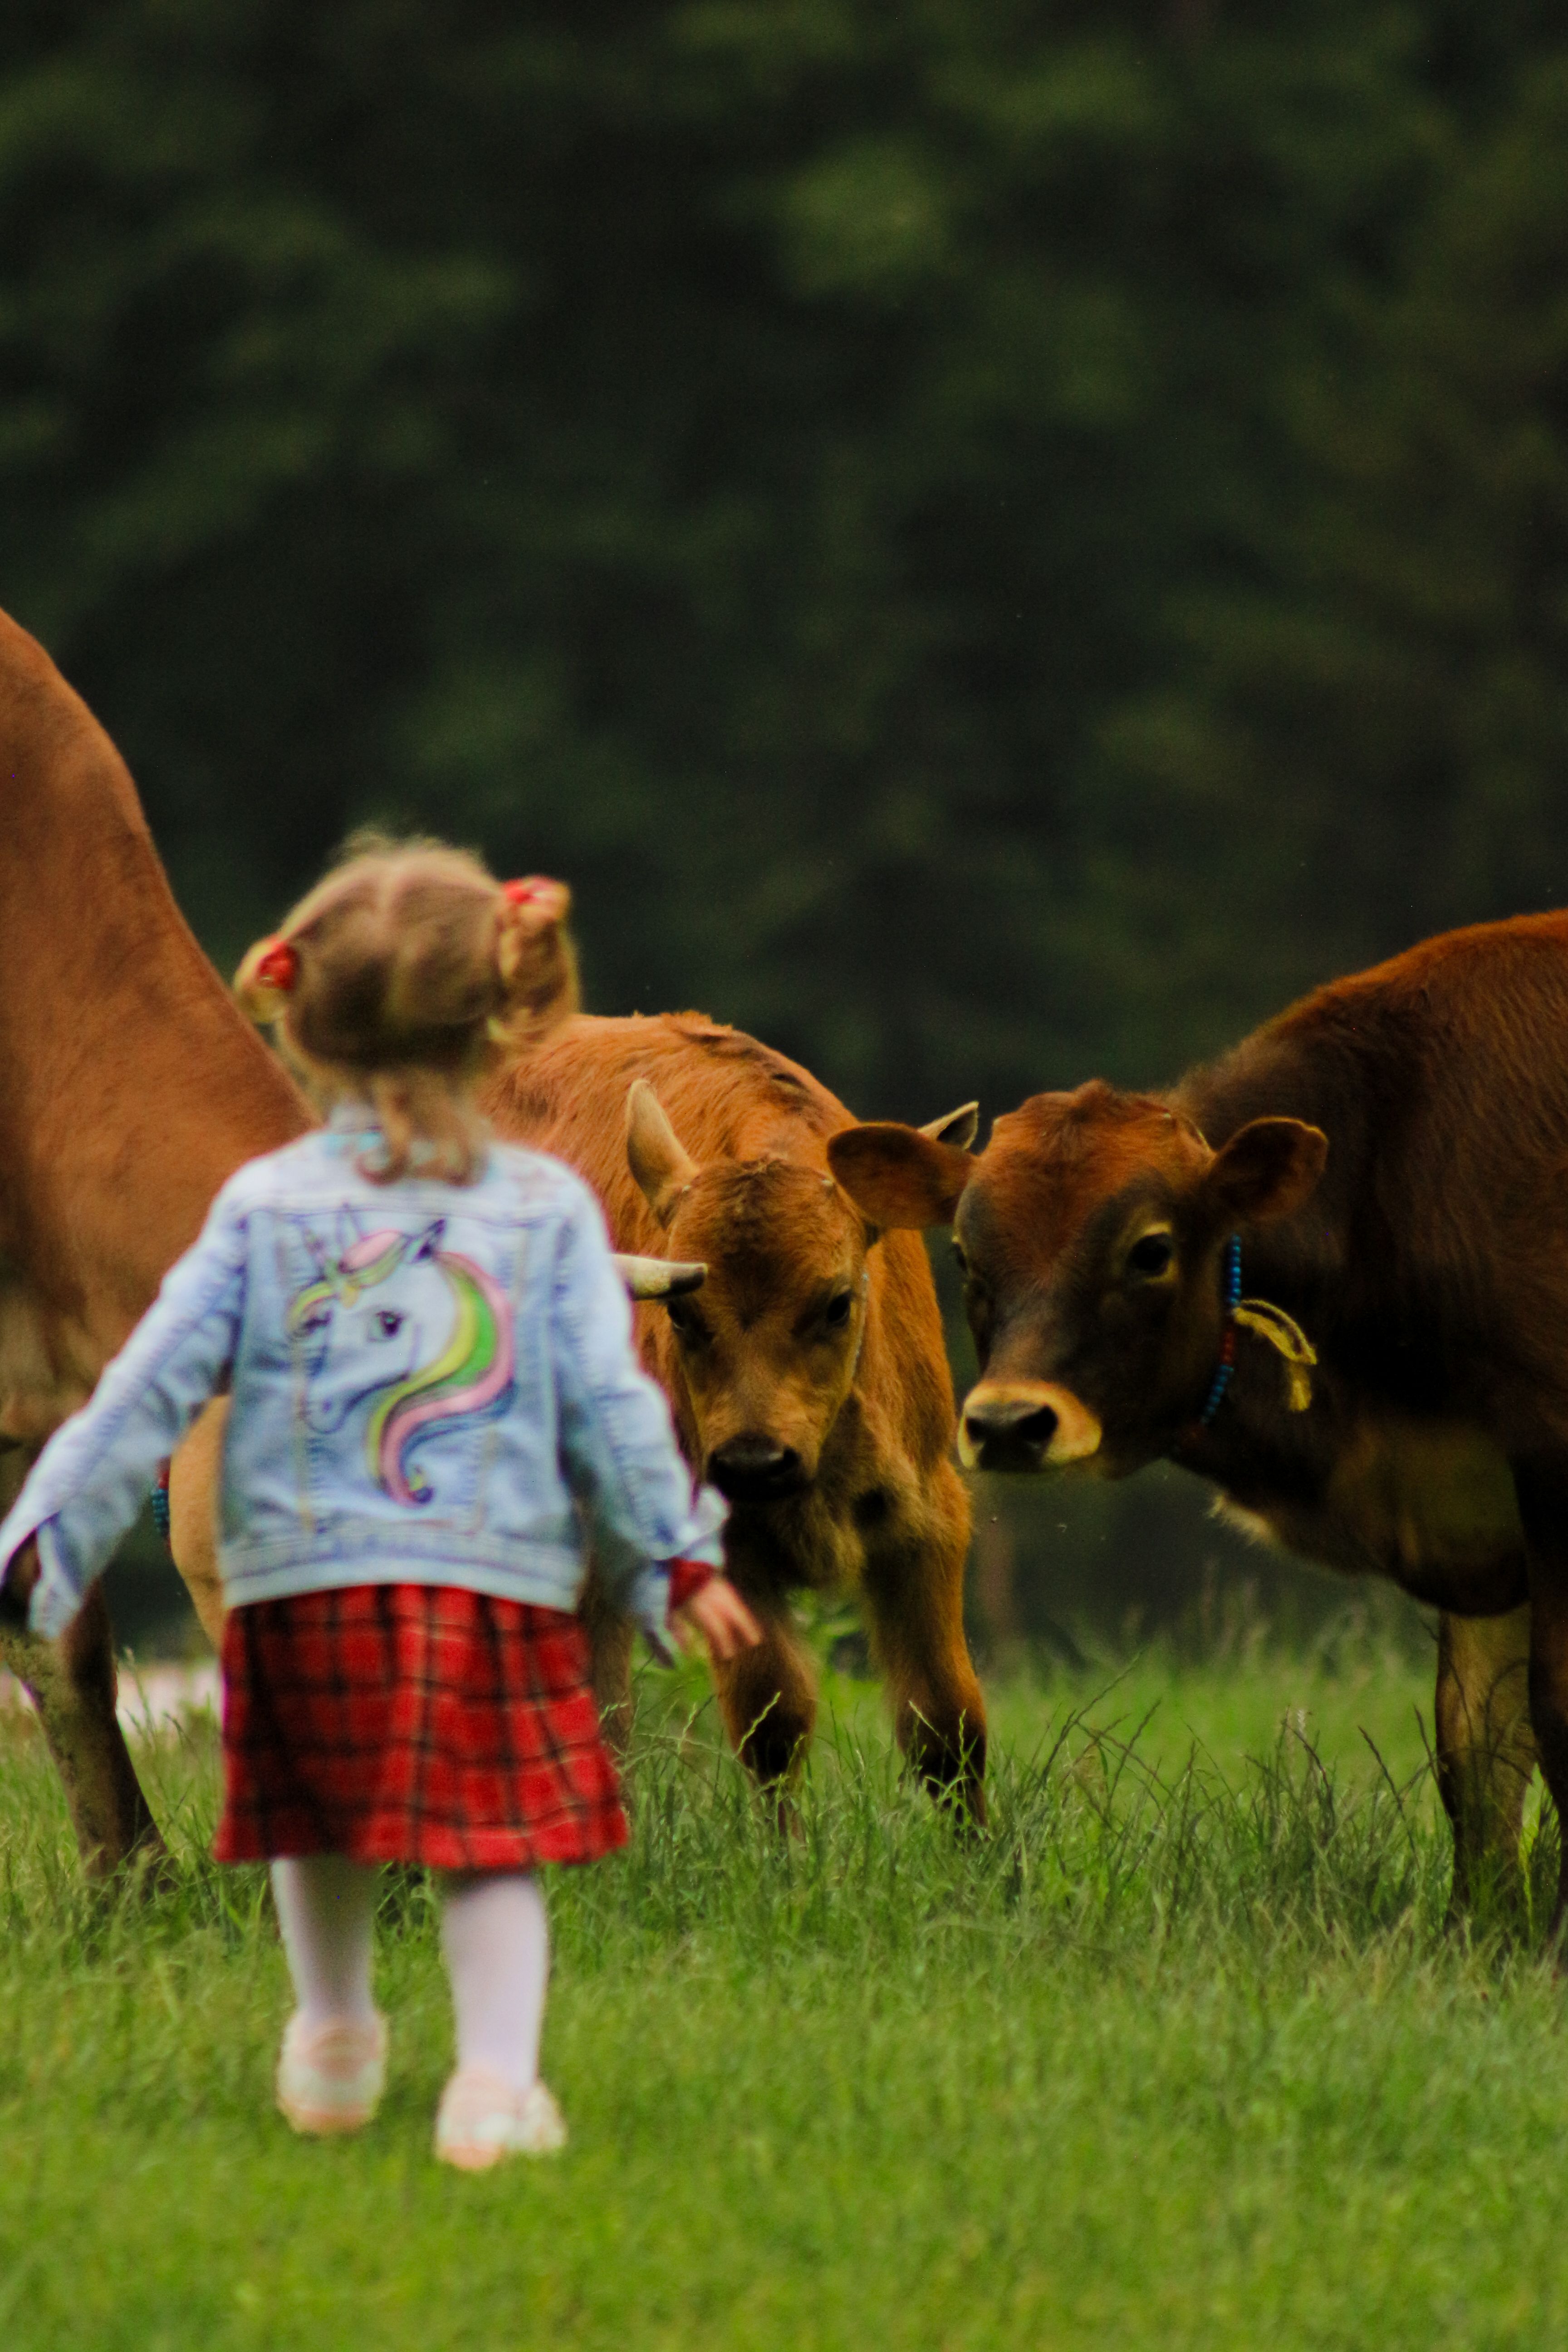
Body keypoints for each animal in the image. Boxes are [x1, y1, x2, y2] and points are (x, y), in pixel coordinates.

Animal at [484, 1012, 988, 1817]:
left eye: (838, 1301)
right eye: (683, 1314)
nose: (756, 1460)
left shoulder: (927, 1524)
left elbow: (946, 1721)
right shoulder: (721, 1542)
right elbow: (773, 1718)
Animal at [826, 914, 1568, 1925]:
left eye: (1152, 1249)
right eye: (965, 1253)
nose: (1010, 1423)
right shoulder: (1488, 1514)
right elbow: (1479, 1748)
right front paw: (1482, 1935)